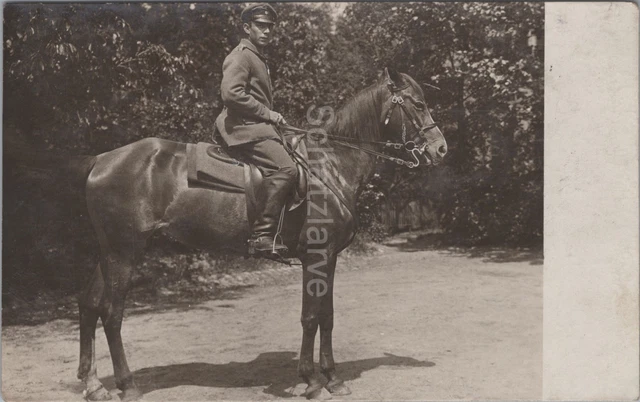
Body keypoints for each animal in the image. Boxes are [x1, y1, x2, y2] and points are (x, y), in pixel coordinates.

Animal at [52, 68, 447, 401]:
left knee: (88, 305)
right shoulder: (316, 257)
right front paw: (312, 381)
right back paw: (128, 384)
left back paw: (94, 386)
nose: (440, 148)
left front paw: (333, 378)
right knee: (111, 313)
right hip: (125, 252)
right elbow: (311, 317)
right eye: (418, 104)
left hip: (110, 252)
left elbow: (328, 316)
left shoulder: (329, 258)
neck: (329, 165)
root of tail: (101, 160)